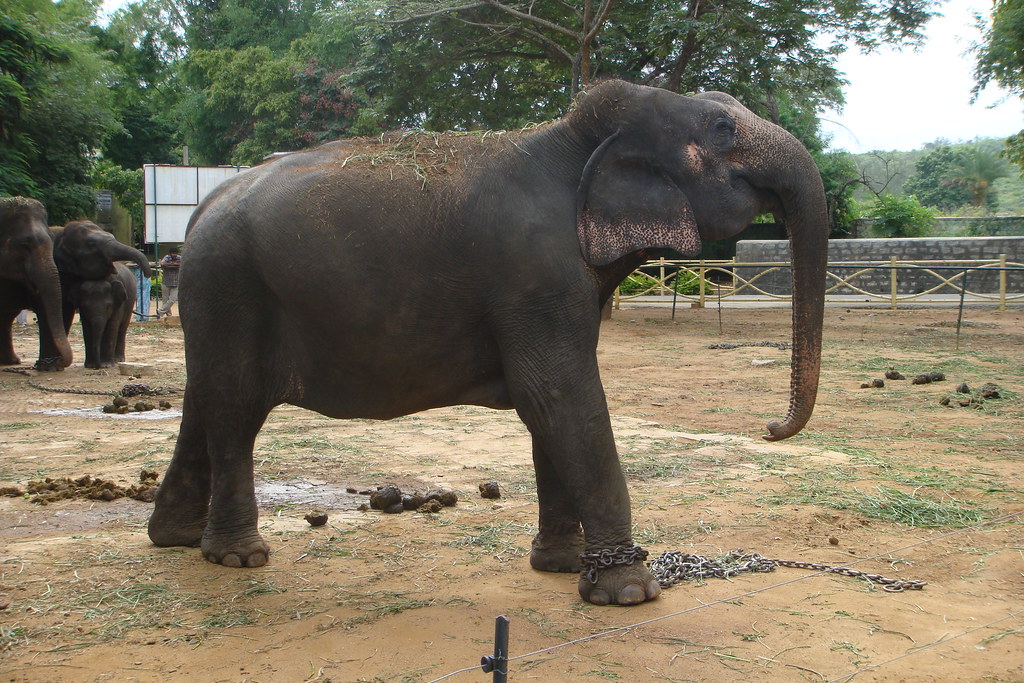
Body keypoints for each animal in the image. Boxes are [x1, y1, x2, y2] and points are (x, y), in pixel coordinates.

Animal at [0, 197, 74, 370]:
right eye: (24, 246)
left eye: (52, 241)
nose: (59, 361)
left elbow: (44, 308)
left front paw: (49, 368)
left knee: (7, 316)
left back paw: (11, 362)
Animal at [149, 80, 828, 606]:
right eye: (722, 127)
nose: (770, 426)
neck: (572, 140)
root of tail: (200, 209)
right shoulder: (534, 271)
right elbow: (560, 397)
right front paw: (630, 592)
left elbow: (551, 407)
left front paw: (561, 565)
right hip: (232, 288)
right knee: (235, 410)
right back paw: (239, 558)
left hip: (214, 300)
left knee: (203, 400)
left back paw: (175, 540)